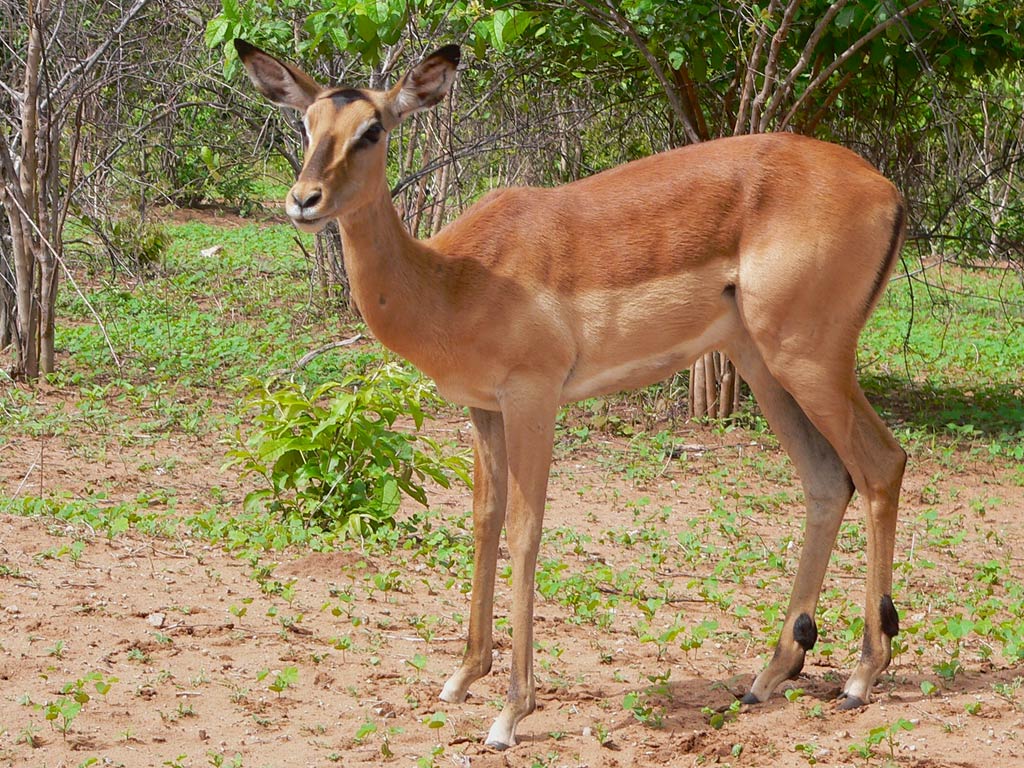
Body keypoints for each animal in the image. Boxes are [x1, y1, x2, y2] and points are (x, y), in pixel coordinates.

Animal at [236, 40, 907, 749]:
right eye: (307, 124)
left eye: (373, 128)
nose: (303, 200)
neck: (454, 279)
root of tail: (886, 190)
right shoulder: (483, 408)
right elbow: (485, 519)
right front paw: (462, 677)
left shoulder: (533, 398)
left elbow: (526, 530)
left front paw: (510, 712)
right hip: (763, 366)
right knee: (827, 480)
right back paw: (769, 674)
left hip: (810, 361)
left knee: (881, 464)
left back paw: (861, 677)